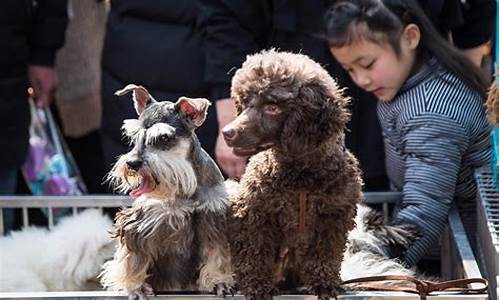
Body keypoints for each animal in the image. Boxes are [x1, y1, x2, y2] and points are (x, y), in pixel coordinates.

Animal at [102, 85, 236, 300]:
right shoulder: (140, 223)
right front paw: (136, 287)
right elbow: (134, 259)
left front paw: (219, 281)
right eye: (134, 136)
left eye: (163, 137)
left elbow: (217, 254)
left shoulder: (214, 218)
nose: (132, 163)